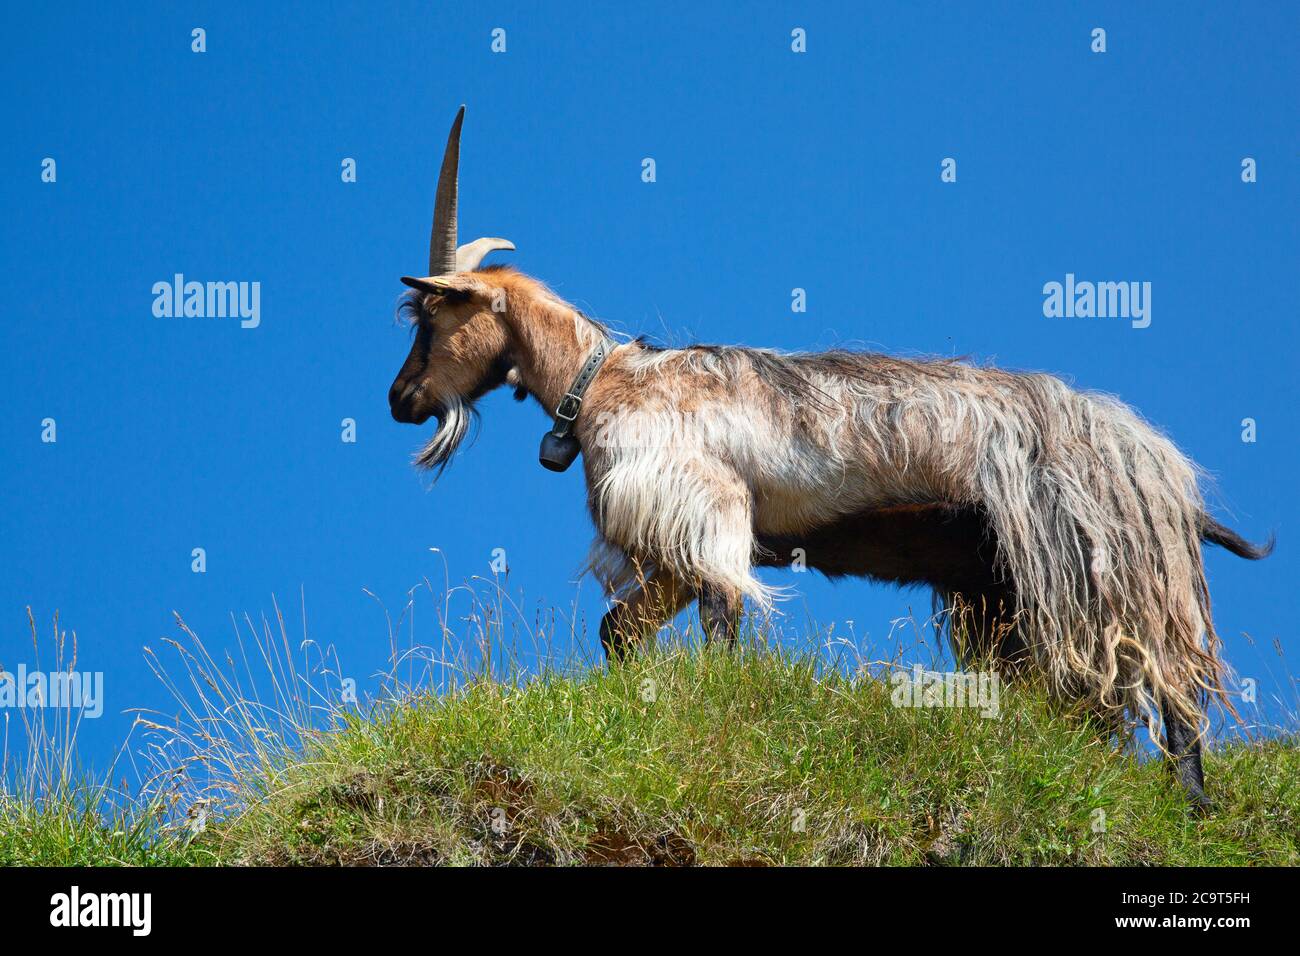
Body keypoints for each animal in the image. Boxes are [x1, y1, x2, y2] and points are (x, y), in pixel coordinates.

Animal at [387, 107, 1272, 811]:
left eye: (432, 315)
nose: (400, 398)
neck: (603, 378)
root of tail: (1162, 468)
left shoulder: (701, 515)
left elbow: (717, 623)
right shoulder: (677, 550)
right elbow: (620, 632)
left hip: (1114, 576)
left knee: (1174, 692)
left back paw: (1194, 809)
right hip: (1010, 593)